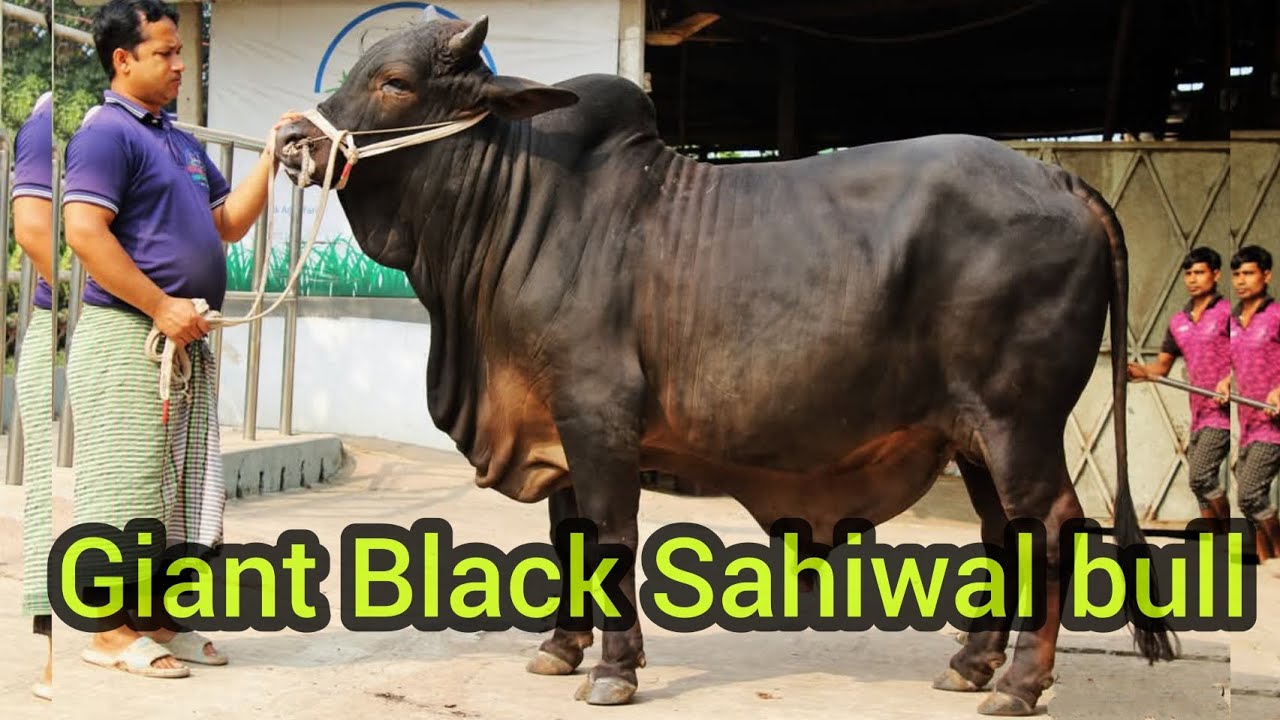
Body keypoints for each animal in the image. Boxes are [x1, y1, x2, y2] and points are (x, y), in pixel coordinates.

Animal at [275, 15, 1176, 716]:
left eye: (394, 82)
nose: (290, 140)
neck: (515, 210)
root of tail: (1062, 179)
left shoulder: (597, 413)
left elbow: (610, 533)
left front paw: (614, 670)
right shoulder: (552, 420)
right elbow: (567, 537)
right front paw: (561, 648)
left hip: (1017, 421)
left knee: (1050, 526)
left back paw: (1020, 683)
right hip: (971, 435)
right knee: (1002, 533)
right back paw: (971, 664)